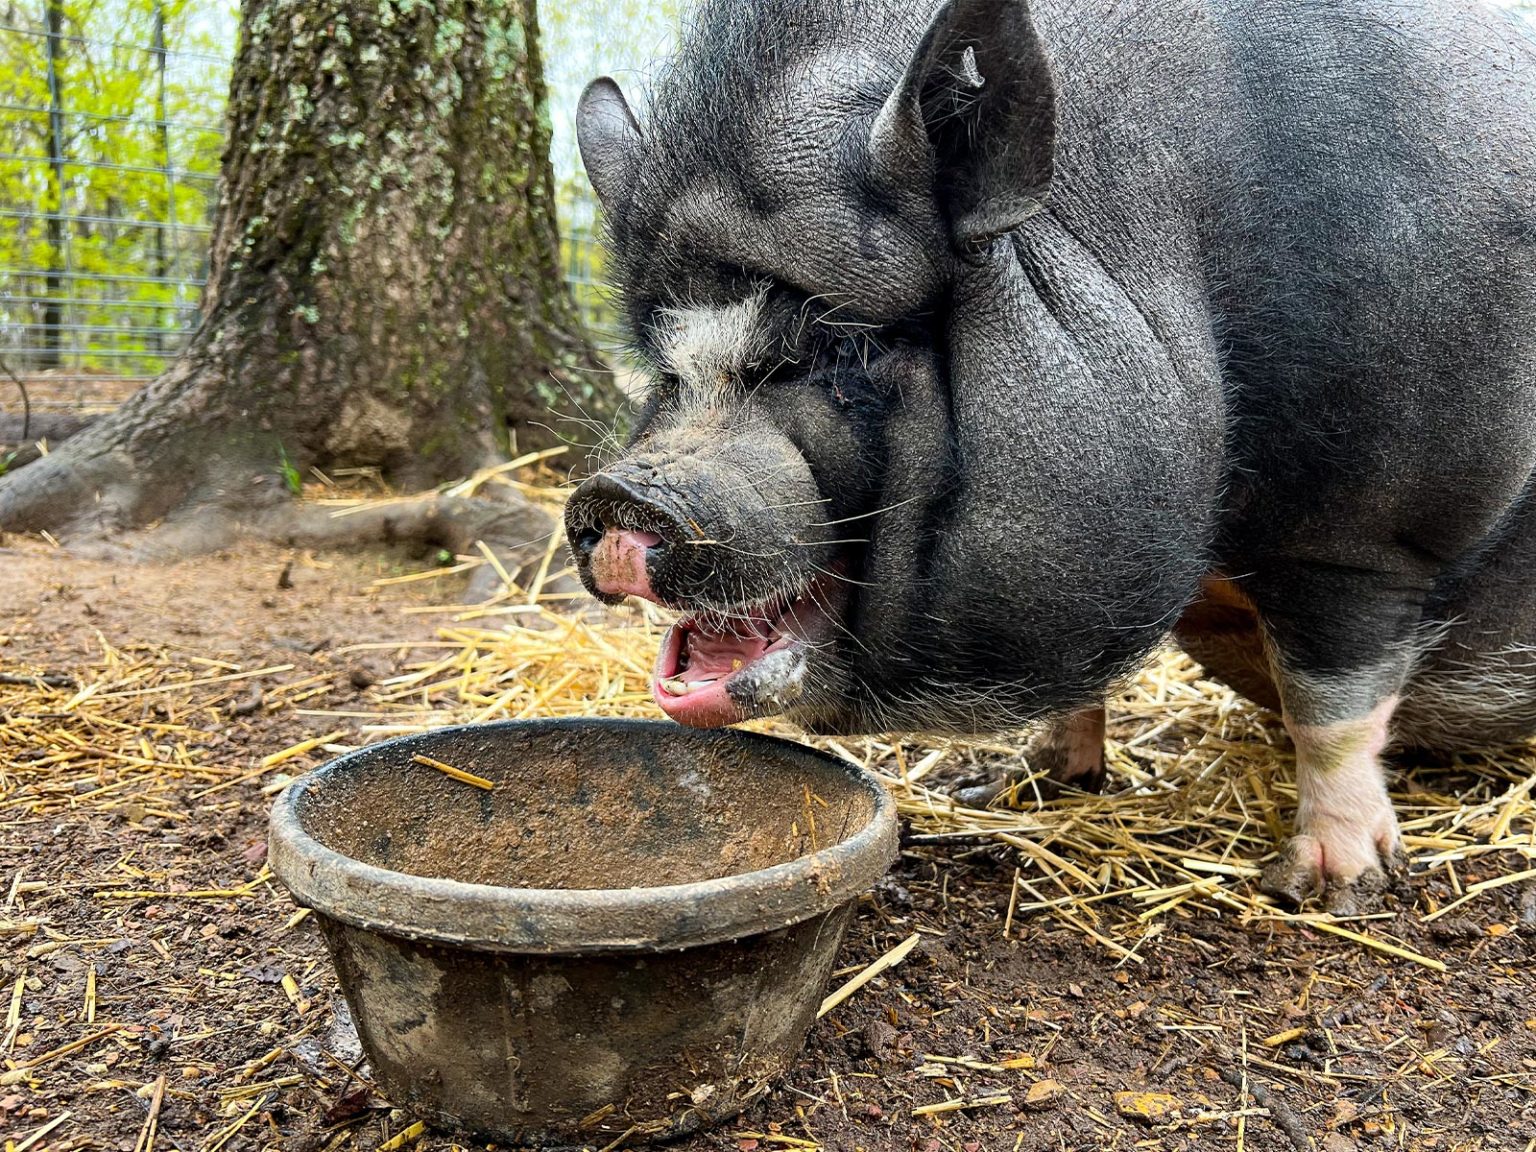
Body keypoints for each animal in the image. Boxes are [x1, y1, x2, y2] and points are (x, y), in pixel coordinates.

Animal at [564, 0, 1536, 912]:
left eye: (841, 346)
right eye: (664, 362)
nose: (622, 495)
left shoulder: (1365, 531)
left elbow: (1331, 706)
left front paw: (1326, 888)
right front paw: (1013, 786)